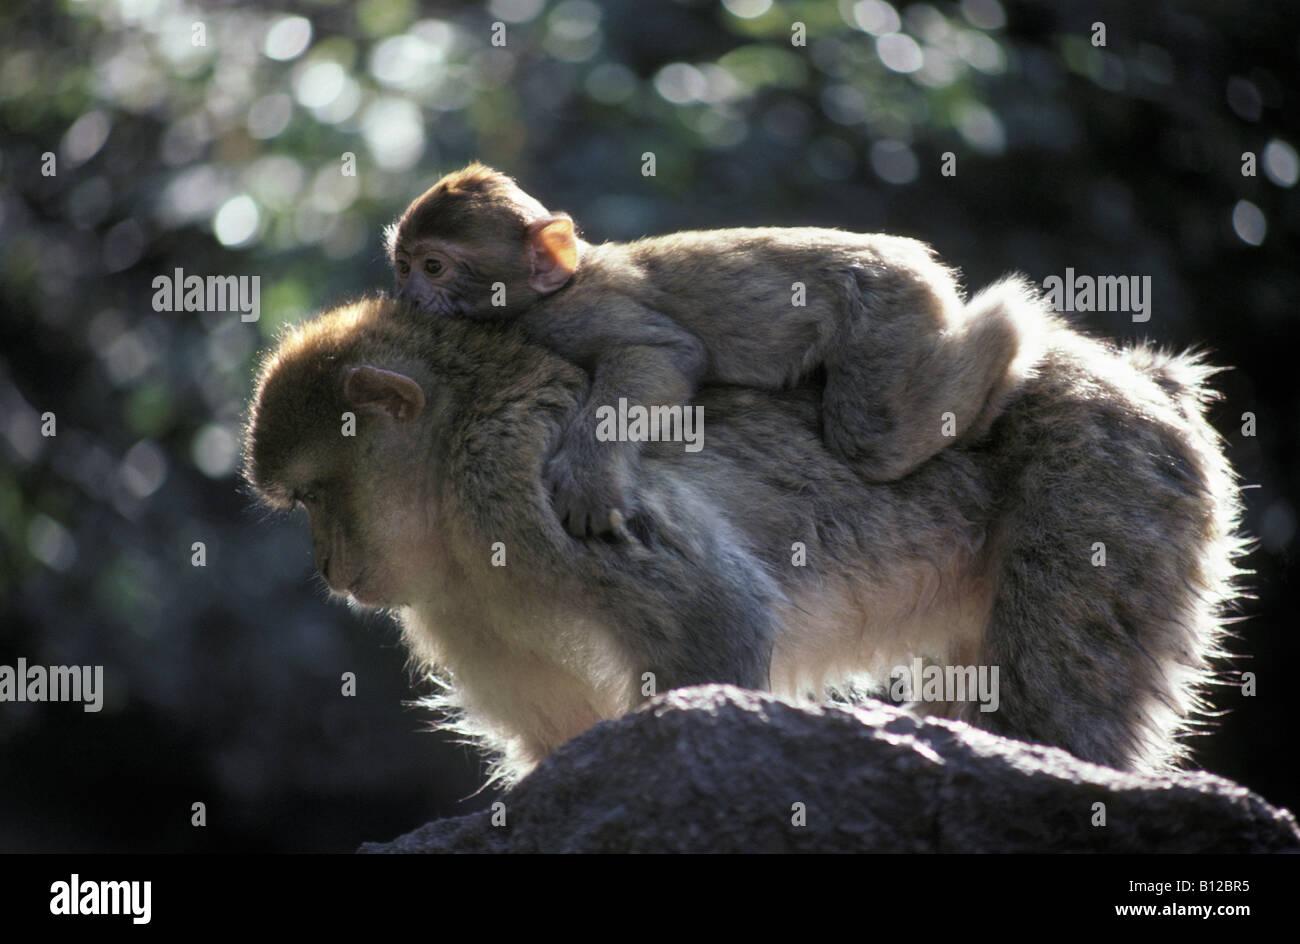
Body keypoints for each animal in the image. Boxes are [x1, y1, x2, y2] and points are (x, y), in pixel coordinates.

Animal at [243, 287, 1242, 787]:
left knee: (1056, 703)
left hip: (1107, 492)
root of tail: (1141, 380)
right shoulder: (459, 606)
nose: (327, 563)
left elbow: (713, 618)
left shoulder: (516, 484)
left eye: (315, 497)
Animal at [385, 163, 1029, 538]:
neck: (556, 285)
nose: (409, 294)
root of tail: (914, 255)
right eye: (404, 265)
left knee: (874, 436)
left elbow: (662, 354)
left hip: (890, 304)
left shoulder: (573, 315)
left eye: (434, 267)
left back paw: (1007, 330)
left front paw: (590, 476)